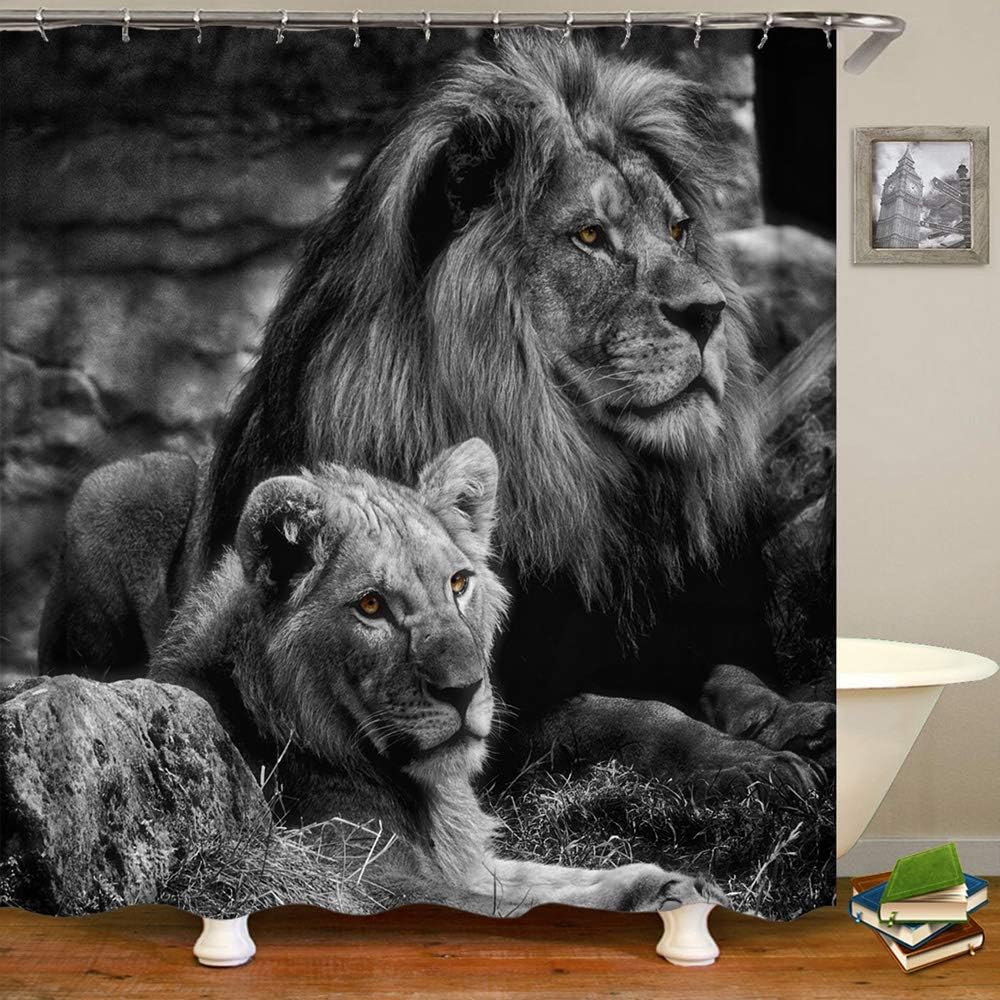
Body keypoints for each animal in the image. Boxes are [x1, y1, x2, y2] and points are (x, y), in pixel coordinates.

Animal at [41, 34, 831, 788]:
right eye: (589, 237)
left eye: (677, 231)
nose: (709, 312)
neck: (583, 478)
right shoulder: (493, 710)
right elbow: (633, 717)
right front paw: (745, 762)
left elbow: (735, 675)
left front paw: (798, 719)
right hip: (115, 488)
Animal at [148, 438, 723, 915]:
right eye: (371, 606)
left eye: (459, 583)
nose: (464, 691)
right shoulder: (342, 880)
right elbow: (517, 910)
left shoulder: (470, 863)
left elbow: (552, 881)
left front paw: (670, 884)